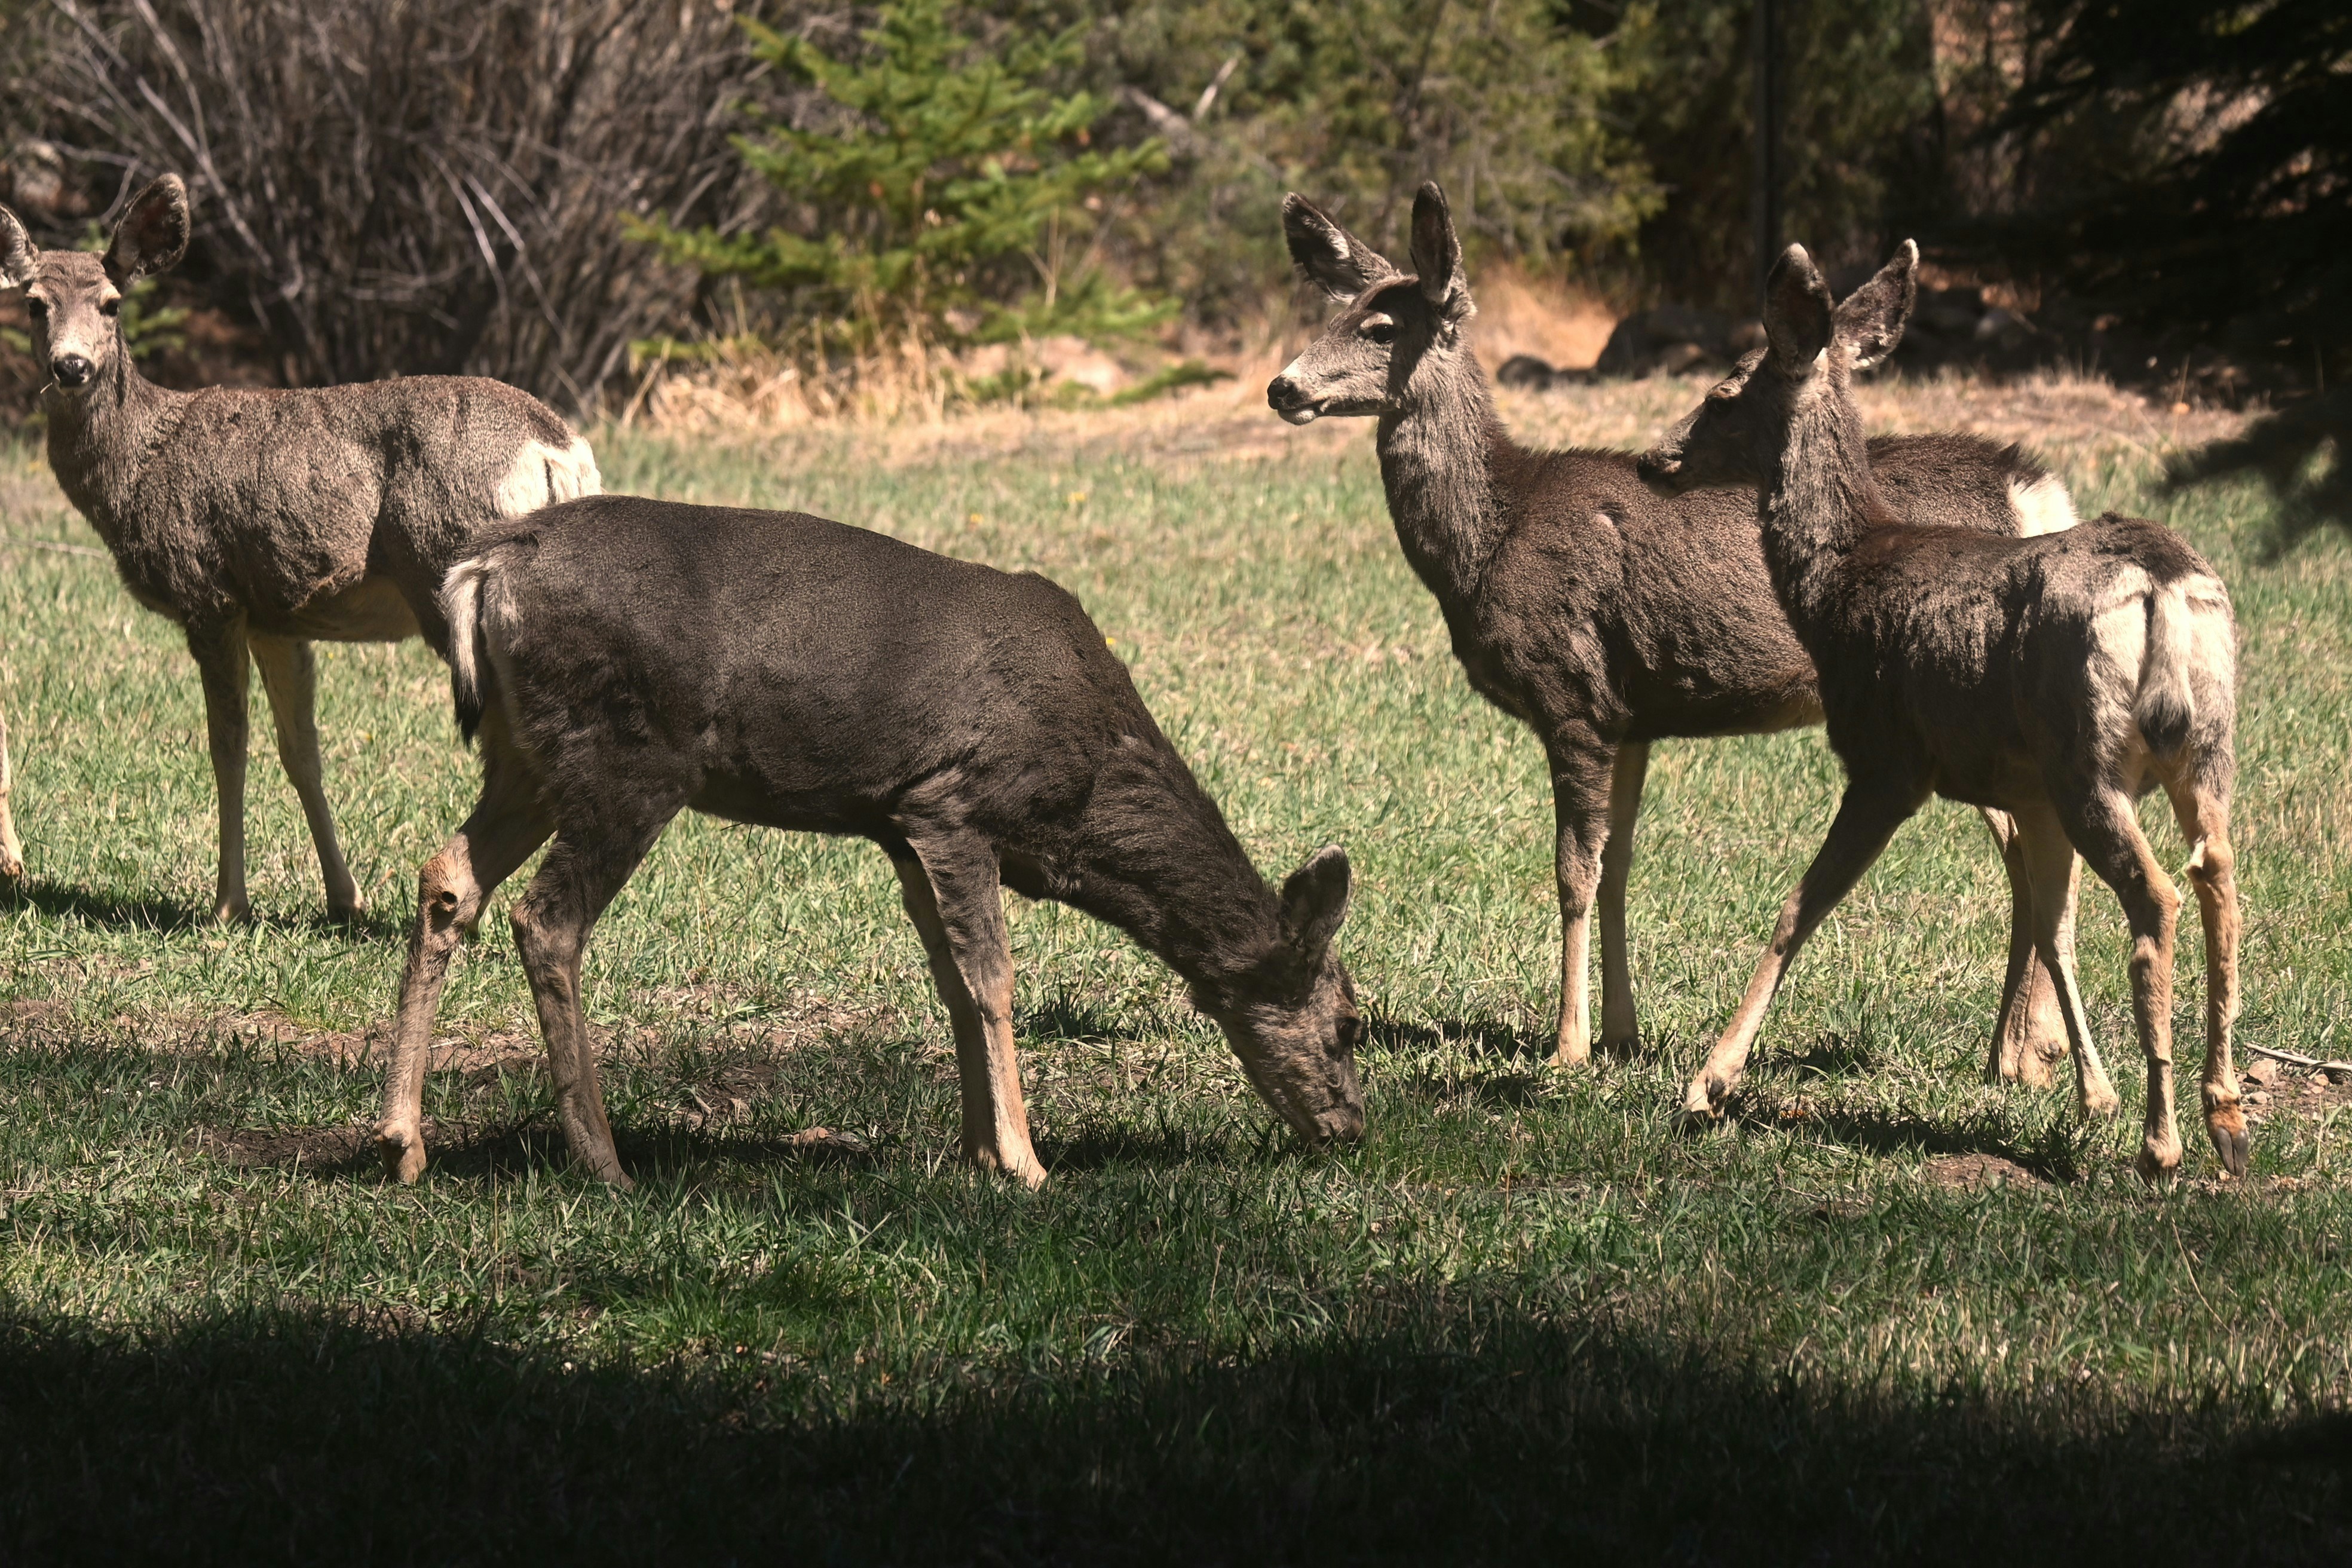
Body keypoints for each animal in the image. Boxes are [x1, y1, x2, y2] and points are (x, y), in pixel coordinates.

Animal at [0, 174, 598, 922]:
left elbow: (229, 745)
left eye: (111, 303)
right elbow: (300, 751)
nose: (72, 366)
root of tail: (556, 448)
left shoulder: (210, 592)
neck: (139, 465)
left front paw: (229, 904)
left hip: (447, 578)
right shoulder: (277, 613)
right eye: (33, 303)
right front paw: (346, 898)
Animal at [373, 496, 1365, 1189]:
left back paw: (402, 1141)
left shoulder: (899, 827)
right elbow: (994, 981)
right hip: (626, 755)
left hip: (526, 754)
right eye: (1351, 1025)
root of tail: (487, 567)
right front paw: (1026, 1162)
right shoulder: (953, 803)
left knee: (448, 878)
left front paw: (976, 1152)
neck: (1081, 800)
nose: (1353, 1128)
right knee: (547, 920)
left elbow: (953, 985)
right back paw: (603, 1159)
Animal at [1268, 182, 2087, 1083]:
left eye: (1381, 328)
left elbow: (1573, 871)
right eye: (1336, 313)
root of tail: (2036, 493)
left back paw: (2021, 1054)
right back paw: (2021, 1049)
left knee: (2035, 853)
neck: (1492, 538)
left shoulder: (1572, 693)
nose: (1281, 387)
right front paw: (1621, 1034)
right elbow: (1619, 866)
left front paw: (1566, 1047)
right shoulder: (1632, 715)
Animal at [1638, 241, 2244, 1181]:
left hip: (2087, 758)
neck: (1837, 585)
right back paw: (2226, 1116)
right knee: (2219, 878)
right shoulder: (2024, 790)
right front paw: (2085, 1090)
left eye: (1722, 393)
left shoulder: (1886, 760)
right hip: (2205, 746)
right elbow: (2051, 923)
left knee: (2158, 899)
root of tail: (2165, 585)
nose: (1654, 459)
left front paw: (1710, 1082)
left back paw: (2163, 1142)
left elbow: (1800, 905)